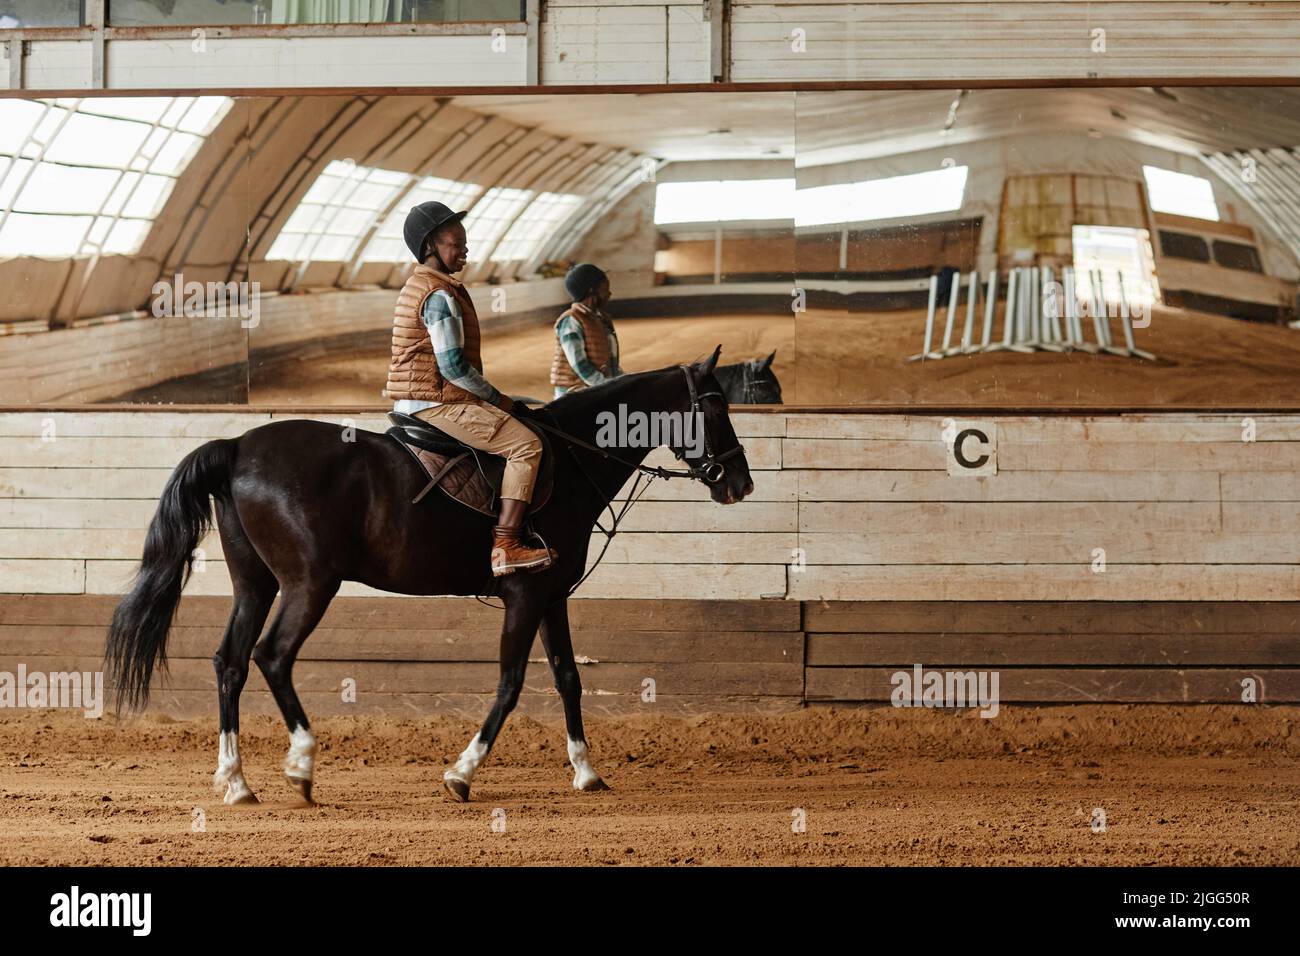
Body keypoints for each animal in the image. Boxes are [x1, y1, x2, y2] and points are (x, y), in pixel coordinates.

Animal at [105, 347, 753, 805]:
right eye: (715, 407)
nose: (740, 483)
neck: (569, 462)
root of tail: (239, 444)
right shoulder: (525, 595)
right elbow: (512, 683)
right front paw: (461, 774)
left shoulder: (552, 596)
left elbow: (568, 678)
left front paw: (588, 773)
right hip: (309, 584)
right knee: (272, 657)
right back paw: (301, 765)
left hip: (256, 585)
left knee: (231, 663)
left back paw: (237, 782)